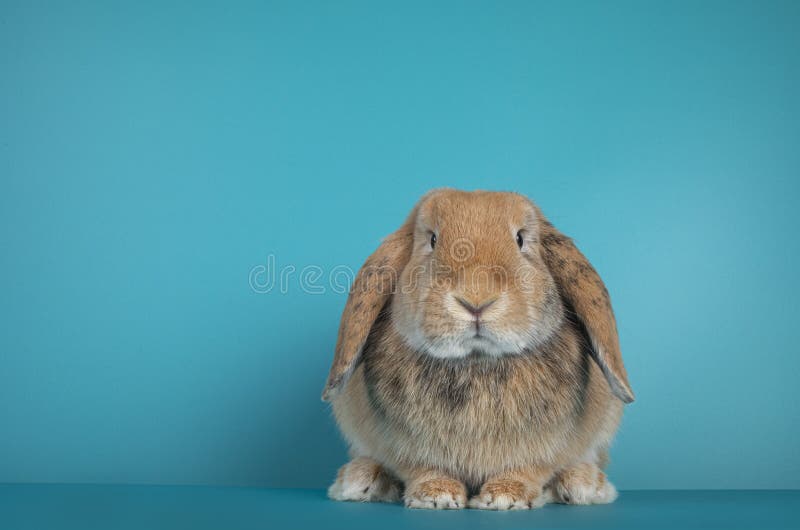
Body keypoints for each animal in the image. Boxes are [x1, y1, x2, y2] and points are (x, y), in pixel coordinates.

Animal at [322, 189, 634, 510]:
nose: (476, 299)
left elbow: (529, 468)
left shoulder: (544, 450)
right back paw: (360, 479)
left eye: (520, 239)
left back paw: (584, 484)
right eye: (432, 240)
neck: (476, 359)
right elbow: (422, 468)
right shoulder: (405, 448)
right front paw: (436, 495)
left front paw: (505, 497)